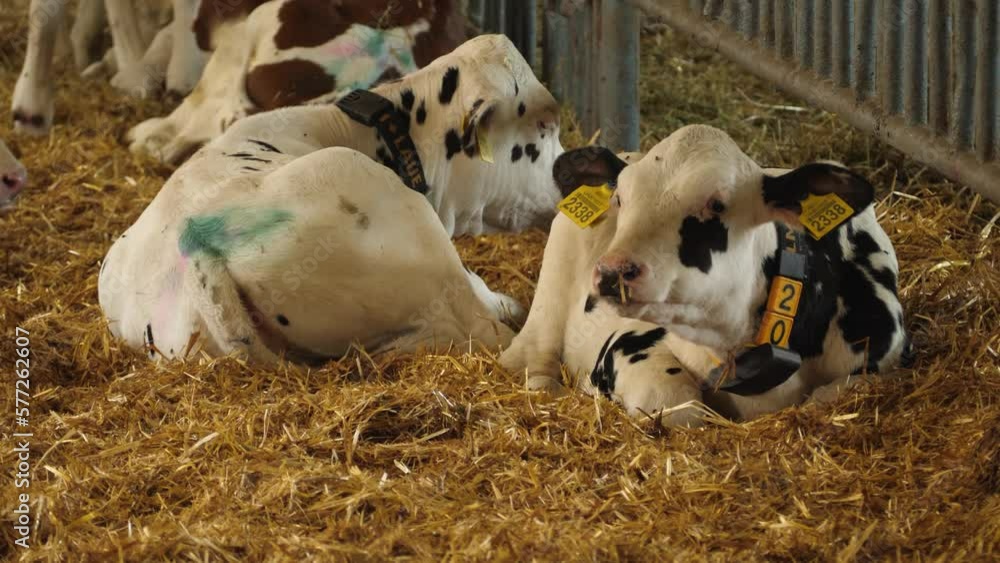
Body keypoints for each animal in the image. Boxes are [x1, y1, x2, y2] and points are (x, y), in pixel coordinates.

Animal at [501, 125, 911, 426]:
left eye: (716, 204)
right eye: (621, 198)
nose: (612, 271)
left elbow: (833, 394)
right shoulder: (630, 340)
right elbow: (680, 407)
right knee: (532, 358)